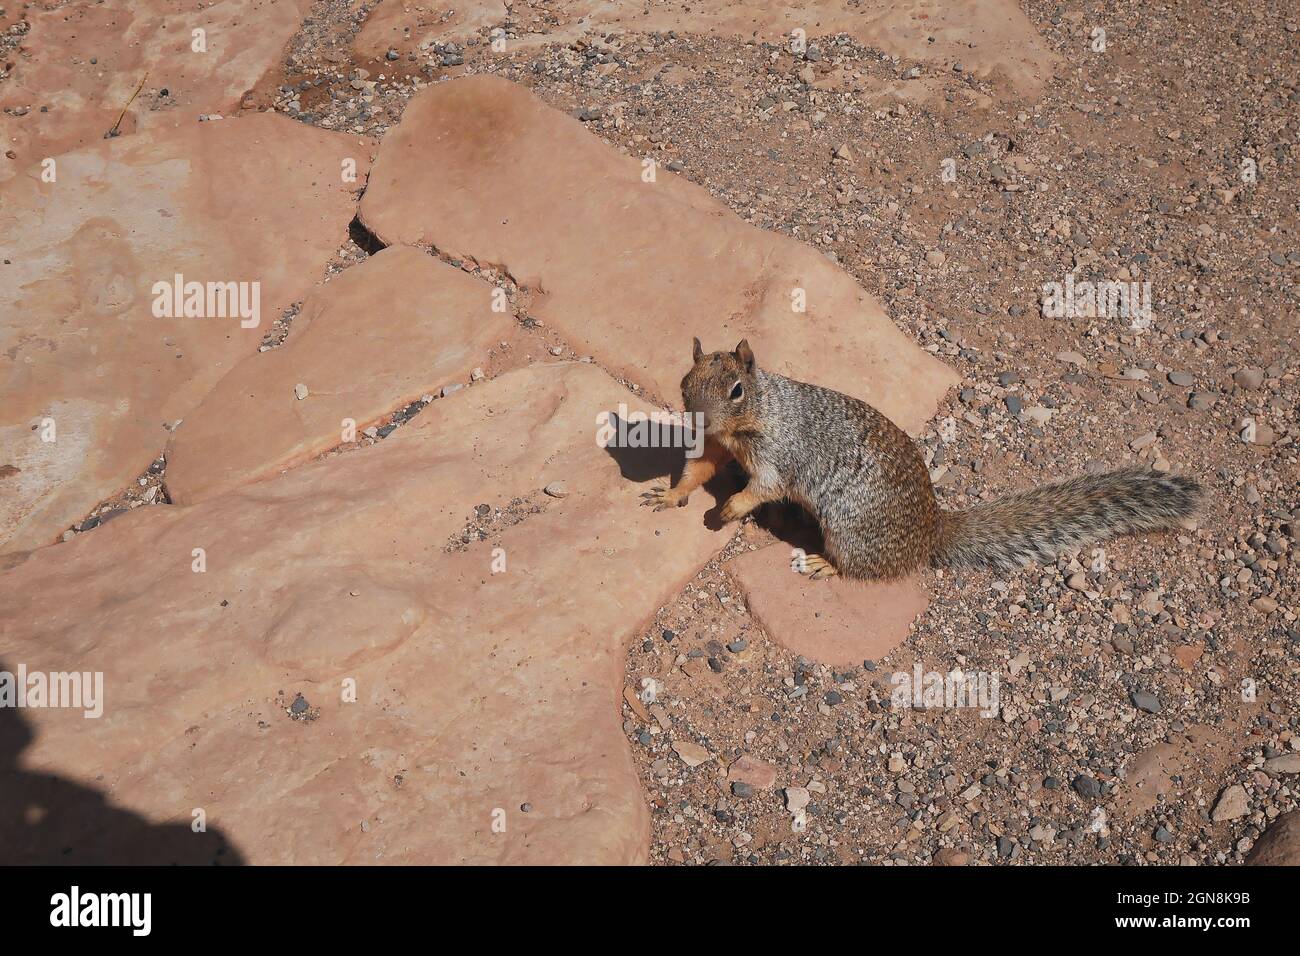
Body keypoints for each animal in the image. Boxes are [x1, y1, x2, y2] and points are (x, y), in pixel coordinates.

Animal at [641, 338, 1202, 581]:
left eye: (736, 389)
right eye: (687, 379)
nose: (697, 415)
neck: (749, 419)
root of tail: (930, 531)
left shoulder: (777, 452)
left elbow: (764, 487)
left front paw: (730, 509)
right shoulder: (715, 446)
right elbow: (697, 471)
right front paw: (667, 495)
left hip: (849, 528)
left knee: (858, 568)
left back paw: (822, 562)